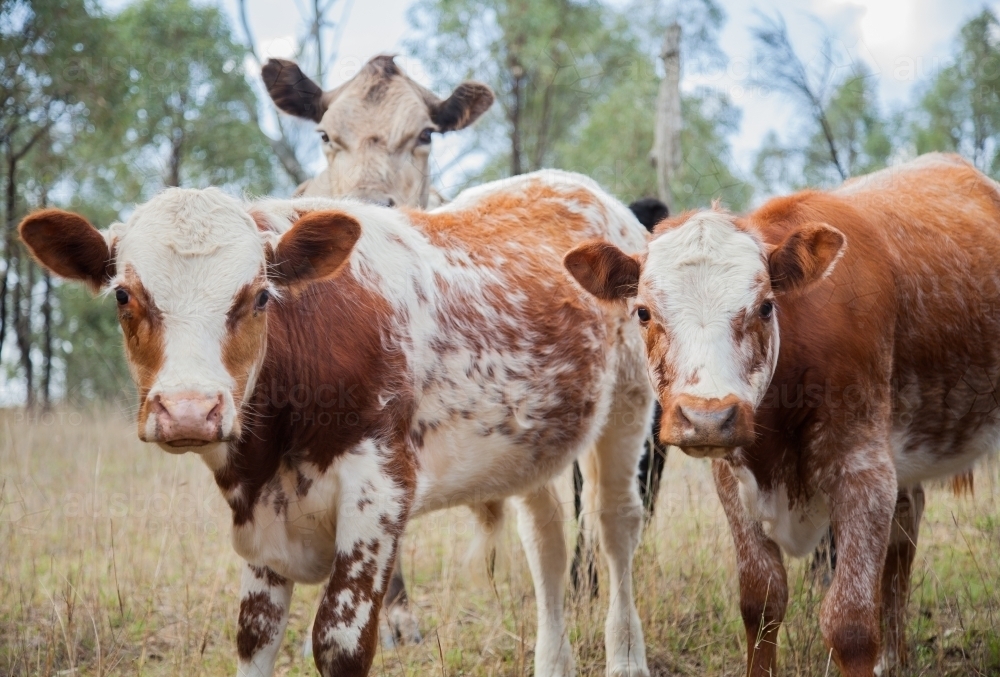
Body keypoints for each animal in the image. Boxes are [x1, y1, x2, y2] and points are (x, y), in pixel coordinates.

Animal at [20, 170, 654, 677]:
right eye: (124, 295)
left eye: (259, 297)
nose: (189, 410)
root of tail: (580, 187)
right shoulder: (263, 510)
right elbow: (255, 635)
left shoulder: (380, 491)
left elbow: (339, 642)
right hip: (531, 442)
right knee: (545, 538)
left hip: (630, 404)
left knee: (615, 524)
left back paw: (627, 658)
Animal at [562, 153, 1000, 676]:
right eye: (643, 312)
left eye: (766, 307)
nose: (708, 418)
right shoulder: (732, 479)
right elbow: (761, 600)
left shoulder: (865, 474)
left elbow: (850, 623)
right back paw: (893, 658)